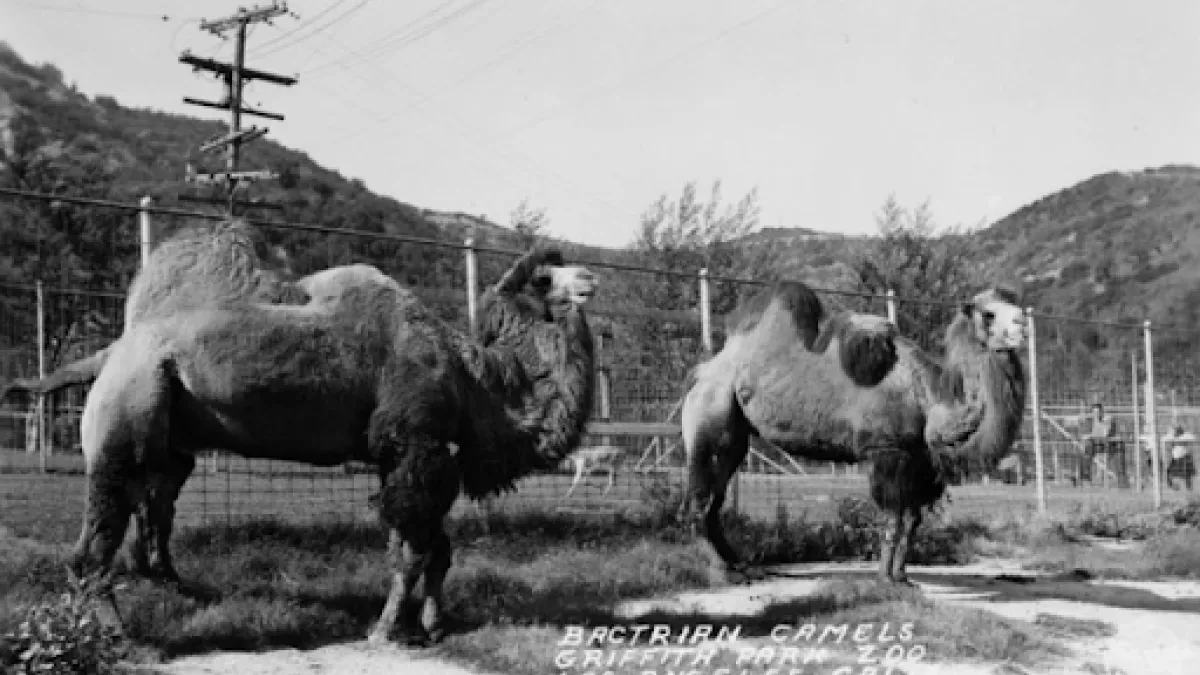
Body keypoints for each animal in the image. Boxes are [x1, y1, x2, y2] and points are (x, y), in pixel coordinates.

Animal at [71, 248, 598, 646]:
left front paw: (431, 627)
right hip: (131, 403)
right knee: (102, 529)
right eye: (544, 278)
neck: (470, 376)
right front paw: (386, 630)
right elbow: (414, 550)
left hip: (164, 435)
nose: (590, 278)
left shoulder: (402, 456)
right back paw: (121, 637)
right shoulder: (415, 444)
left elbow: (428, 548)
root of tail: (110, 353)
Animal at [679, 281, 1026, 583]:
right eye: (988, 314)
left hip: (735, 434)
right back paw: (721, 572)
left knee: (716, 496)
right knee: (702, 496)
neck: (927, 397)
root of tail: (701, 374)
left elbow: (913, 520)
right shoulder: (886, 451)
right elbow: (893, 519)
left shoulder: (918, 460)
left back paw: (740, 567)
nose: (1022, 325)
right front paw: (886, 579)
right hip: (709, 412)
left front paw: (903, 577)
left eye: (1017, 307)